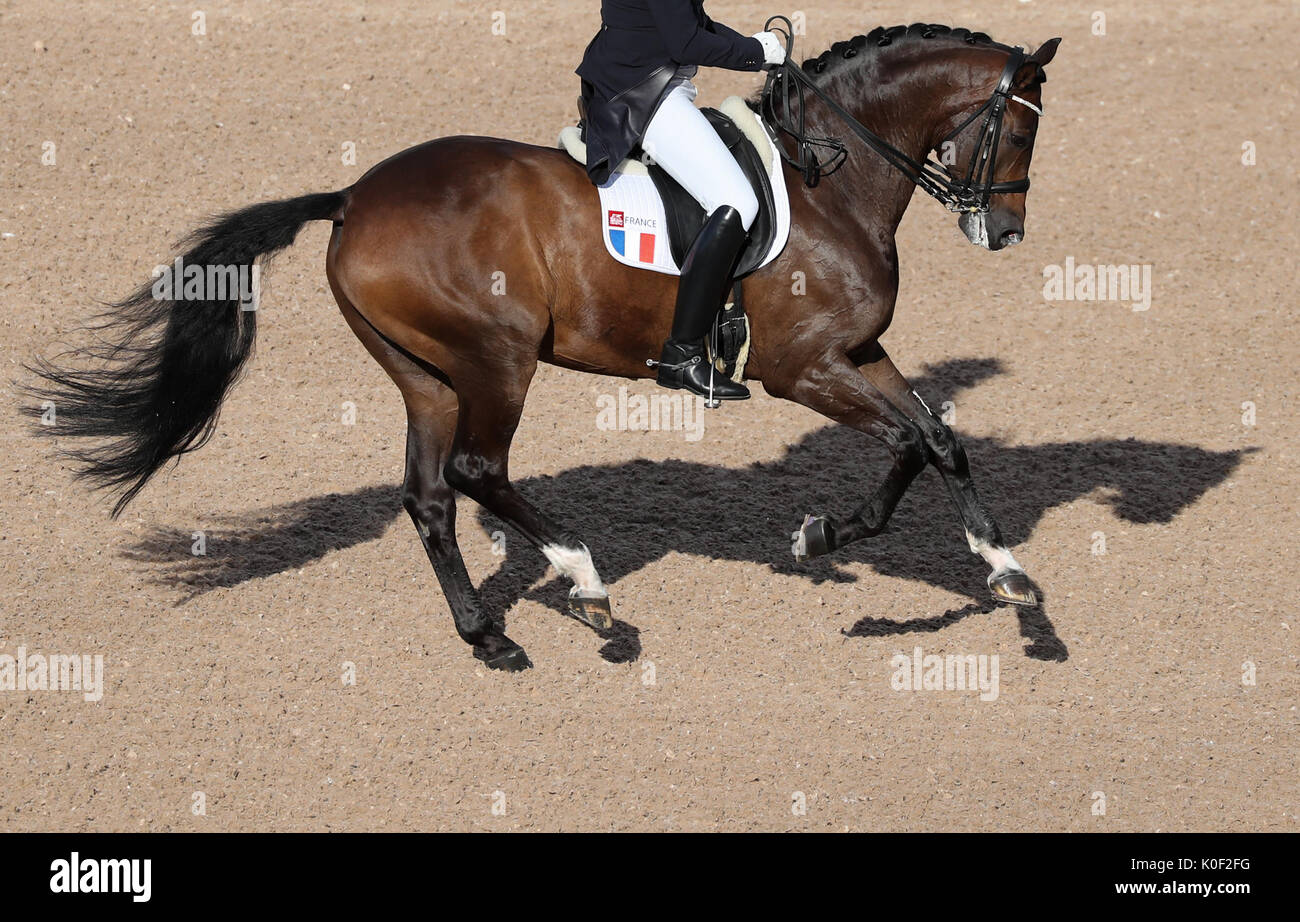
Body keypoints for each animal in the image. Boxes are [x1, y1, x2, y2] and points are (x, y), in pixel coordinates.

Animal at [26, 24, 1061, 671]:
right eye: (1016, 130)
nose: (1004, 232)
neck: (829, 179)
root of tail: (353, 198)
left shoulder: (859, 351)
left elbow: (937, 440)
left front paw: (996, 571)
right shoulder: (804, 368)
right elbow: (913, 441)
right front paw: (849, 542)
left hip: (428, 376)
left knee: (430, 497)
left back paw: (489, 636)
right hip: (497, 359)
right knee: (478, 471)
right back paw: (585, 581)